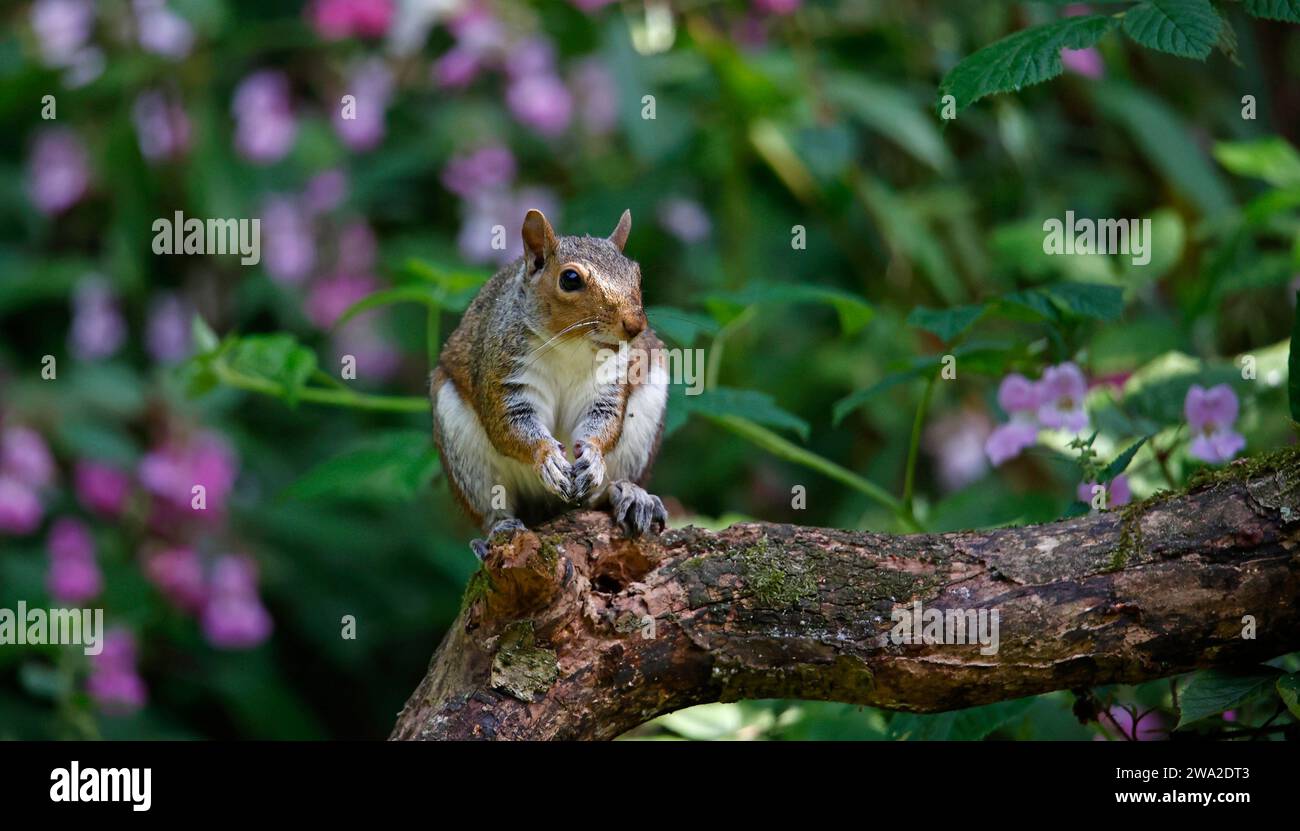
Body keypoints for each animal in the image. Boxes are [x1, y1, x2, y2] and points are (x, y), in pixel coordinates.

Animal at [430, 208, 669, 559]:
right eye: (570, 279)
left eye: (636, 275)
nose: (636, 325)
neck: (571, 346)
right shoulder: (504, 374)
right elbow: (509, 426)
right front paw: (548, 458)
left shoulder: (610, 382)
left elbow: (605, 421)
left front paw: (592, 457)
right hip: (462, 446)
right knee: (491, 505)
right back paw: (500, 529)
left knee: (599, 497)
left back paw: (627, 494)